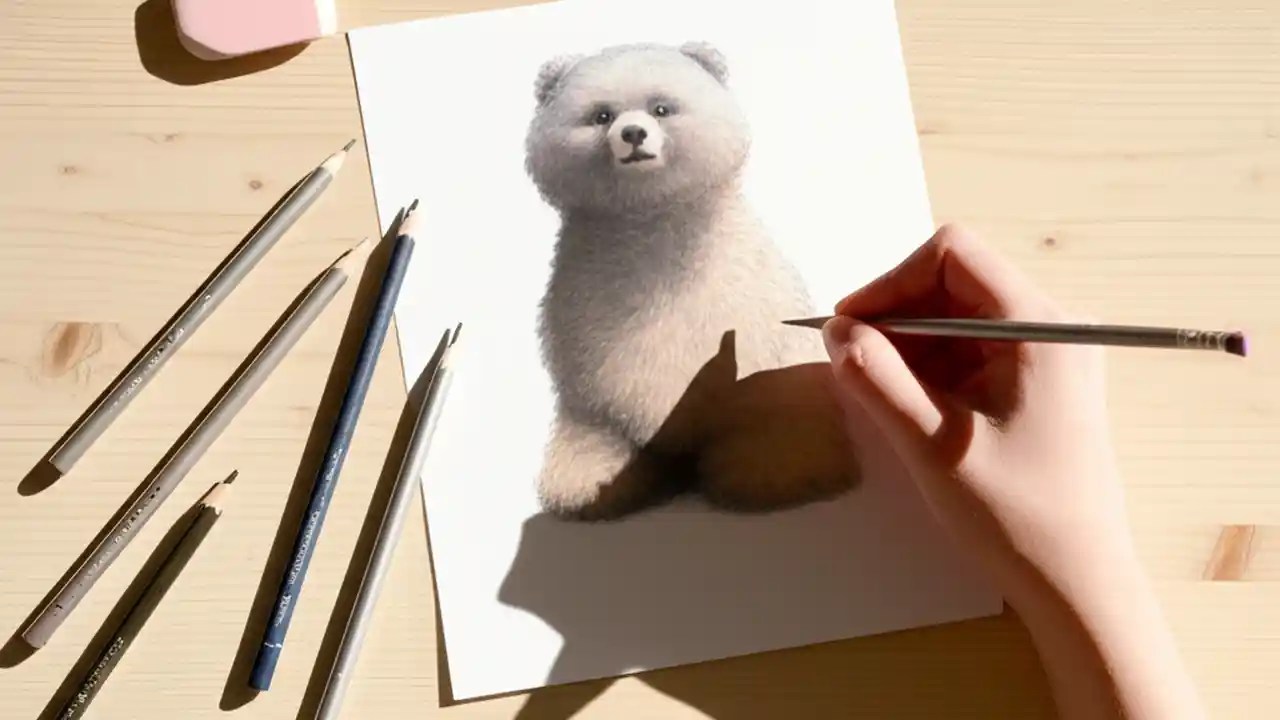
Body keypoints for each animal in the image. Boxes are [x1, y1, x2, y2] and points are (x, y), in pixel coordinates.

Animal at [525, 41, 859, 520]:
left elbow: (770, 410)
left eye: (661, 108)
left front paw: (775, 472)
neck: (650, 227)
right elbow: (597, 424)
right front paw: (591, 483)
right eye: (601, 115)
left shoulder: (742, 314)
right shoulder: (587, 334)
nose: (633, 134)